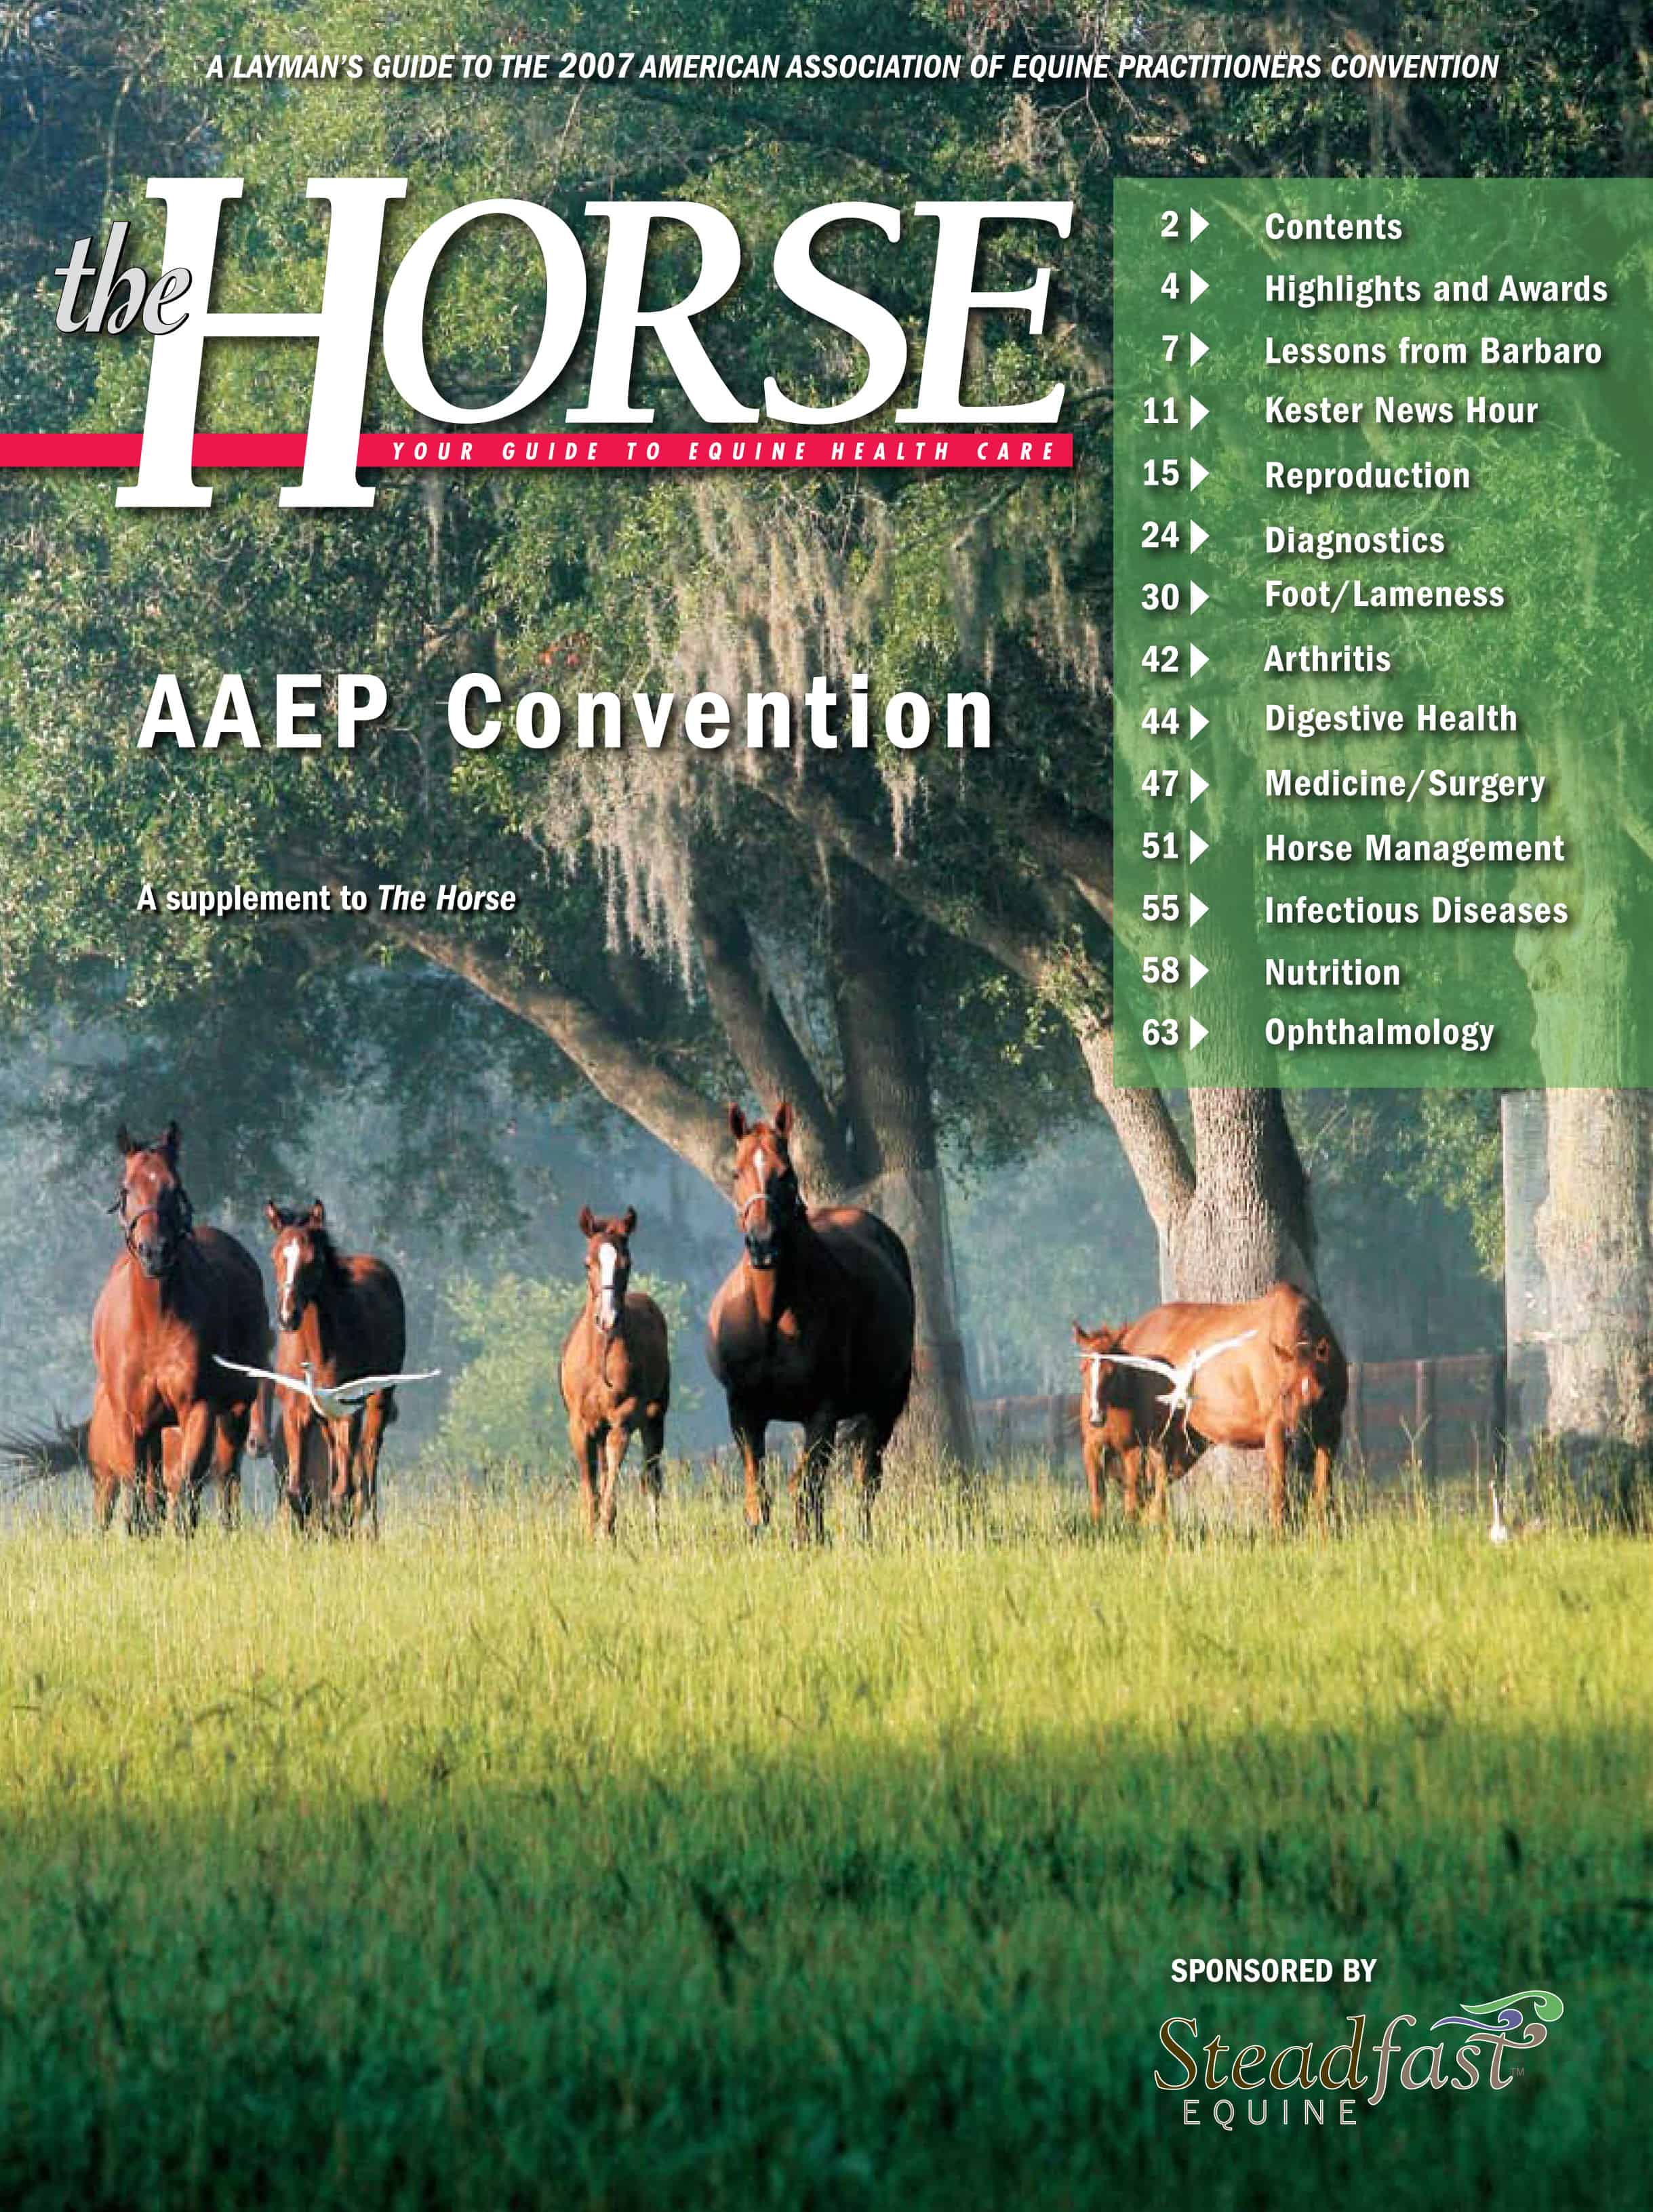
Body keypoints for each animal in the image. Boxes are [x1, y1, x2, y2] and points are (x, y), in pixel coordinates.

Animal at [87, 1121, 269, 1531]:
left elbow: (187, 1485)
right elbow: (138, 1492)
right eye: (127, 1188)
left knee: (226, 1477)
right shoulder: (131, 1419)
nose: (155, 1251)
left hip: (235, 1411)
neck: (154, 1322)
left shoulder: (198, 1407)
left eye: (174, 1186)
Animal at [264, 1199, 406, 1536]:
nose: (288, 1317)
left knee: (368, 1460)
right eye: (276, 1256)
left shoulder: (348, 1412)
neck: (316, 1348)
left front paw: (343, 1533)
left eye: (313, 1260)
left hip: (378, 1400)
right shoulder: (296, 1412)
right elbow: (298, 1492)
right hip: (325, 1418)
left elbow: (345, 1490)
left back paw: (368, 1526)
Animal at [558, 1205, 670, 1539]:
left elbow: (611, 1489)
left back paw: (655, 1535)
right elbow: (591, 1489)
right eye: (587, 1264)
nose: (607, 1319)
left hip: (654, 1418)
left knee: (651, 1477)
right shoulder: (580, 1427)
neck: (599, 1361)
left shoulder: (622, 1422)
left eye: (626, 1264)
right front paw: (592, 1534)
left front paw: (604, 1536)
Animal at [707, 1101, 914, 1542]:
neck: (771, 1317)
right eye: (736, 1172)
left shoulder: (822, 1412)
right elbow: (759, 1492)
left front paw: (810, 1541)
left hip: (885, 1403)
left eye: (786, 1173)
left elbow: (805, 1484)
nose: (763, 1244)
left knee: (866, 1477)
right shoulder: (744, 1408)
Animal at [1074, 1284, 1346, 1528]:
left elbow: (1324, 1494)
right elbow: (1279, 1495)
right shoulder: (1276, 1431)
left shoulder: (1332, 1433)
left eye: (1323, 1393)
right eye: (1284, 1393)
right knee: (1146, 1493)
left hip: (1183, 1445)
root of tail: (1132, 1333)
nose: (1302, 1446)